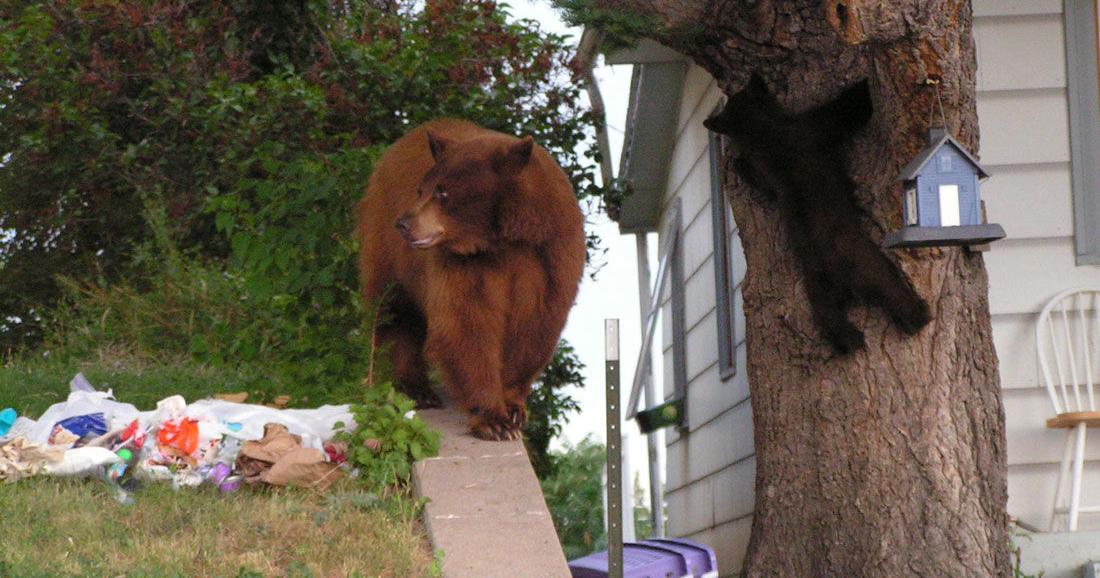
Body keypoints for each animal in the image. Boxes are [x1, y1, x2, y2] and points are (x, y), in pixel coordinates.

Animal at [356, 118, 586, 440]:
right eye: (421, 190)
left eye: (442, 193)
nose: (403, 223)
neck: (504, 240)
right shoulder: (464, 264)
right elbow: (466, 323)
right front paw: (494, 420)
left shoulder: (551, 257)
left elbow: (536, 325)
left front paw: (513, 407)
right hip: (389, 249)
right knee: (396, 309)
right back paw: (416, 387)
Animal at [704, 75, 931, 354]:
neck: (762, 130)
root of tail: (840, 281)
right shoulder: (816, 125)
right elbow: (847, 107)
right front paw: (865, 84)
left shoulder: (765, 169)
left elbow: (756, 175)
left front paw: (739, 164)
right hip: (870, 265)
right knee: (891, 289)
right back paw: (919, 313)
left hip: (818, 290)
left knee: (829, 317)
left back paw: (851, 341)